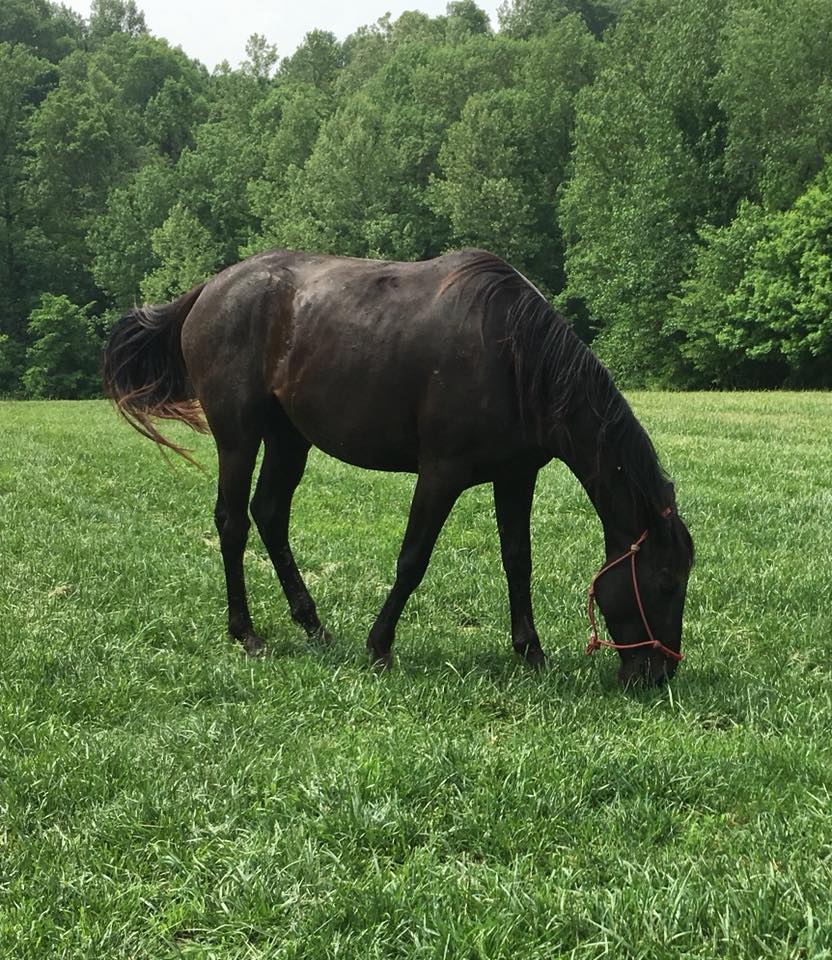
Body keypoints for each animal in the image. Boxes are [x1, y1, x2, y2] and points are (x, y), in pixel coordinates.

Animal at [102, 248, 694, 686]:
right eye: (666, 582)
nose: (658, 674)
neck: (514, 356)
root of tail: (209, 289)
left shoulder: (515, 476)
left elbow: (517, 561)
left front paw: (531, 652)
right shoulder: (441, 475)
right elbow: (413, 559)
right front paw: (380, 646)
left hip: (289, 440)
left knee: (269, 513)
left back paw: (313, 626)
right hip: (239, 437)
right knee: (233, 522)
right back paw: (246, 633)